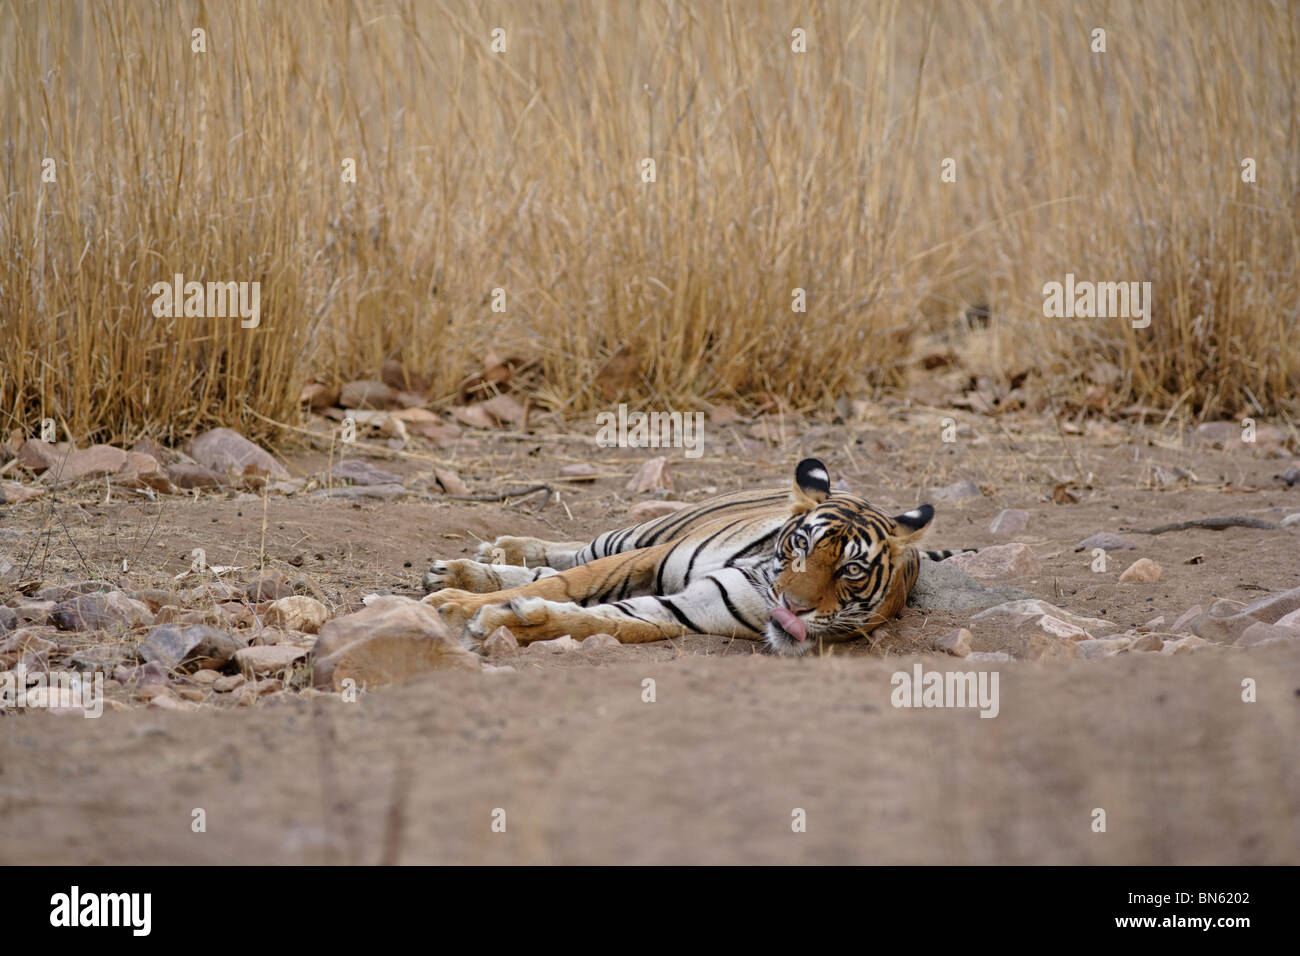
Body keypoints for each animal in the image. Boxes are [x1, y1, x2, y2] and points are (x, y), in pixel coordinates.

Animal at [422, 458, 966, 656]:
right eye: (802, 546)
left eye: (851, 569)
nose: (795, 608)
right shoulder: (649, 557)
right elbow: (563, 583)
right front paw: (453, 607)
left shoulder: (684, 608)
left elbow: (600, 619)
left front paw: (501, 620)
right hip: (636, 534)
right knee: (569, 554)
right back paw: (469, 564)